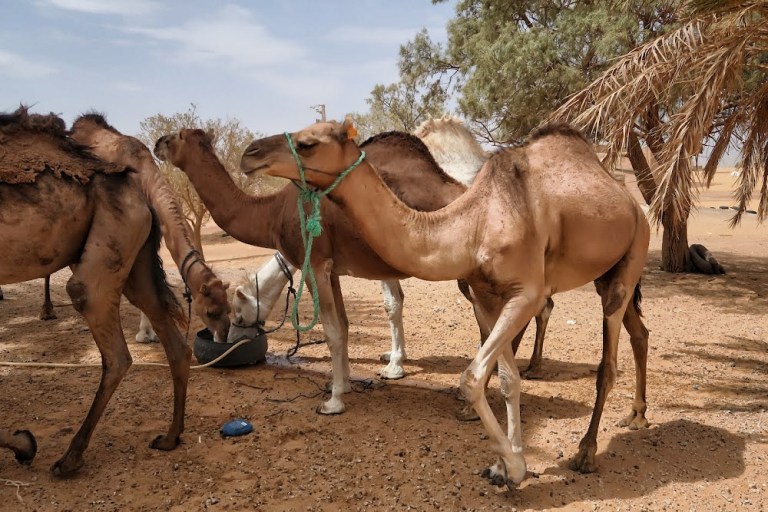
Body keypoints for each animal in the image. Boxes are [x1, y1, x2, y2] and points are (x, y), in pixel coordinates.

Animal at [0, 107, 190, 474]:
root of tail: (140, 196)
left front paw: (24, 444)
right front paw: (22, 443)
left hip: (113, 234)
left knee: (110, 342)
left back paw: (70, 457)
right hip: (134, 257)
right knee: (173, 340)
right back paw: (170, 437)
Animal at [153, 128, 471, 414]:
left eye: (175, 137)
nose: (157, 143)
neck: (272, 212)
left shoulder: (315, 263)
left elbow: (332, 330)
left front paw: (334, 402)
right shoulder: (333, 269)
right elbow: (344, 324)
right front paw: (343, 385)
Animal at [241, 118, 651, 488]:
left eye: (307, 143)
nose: (250, 153)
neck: (472, 225)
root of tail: (630, 201)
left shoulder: (527, 293)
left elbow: (472, 377)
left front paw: (512, 469)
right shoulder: (485, 294)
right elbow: (507, 379)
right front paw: (508, 463)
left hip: (634, 252)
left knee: (608, 363)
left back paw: (586, 452)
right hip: (607, 272)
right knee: (640, 332)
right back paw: (636, 415)